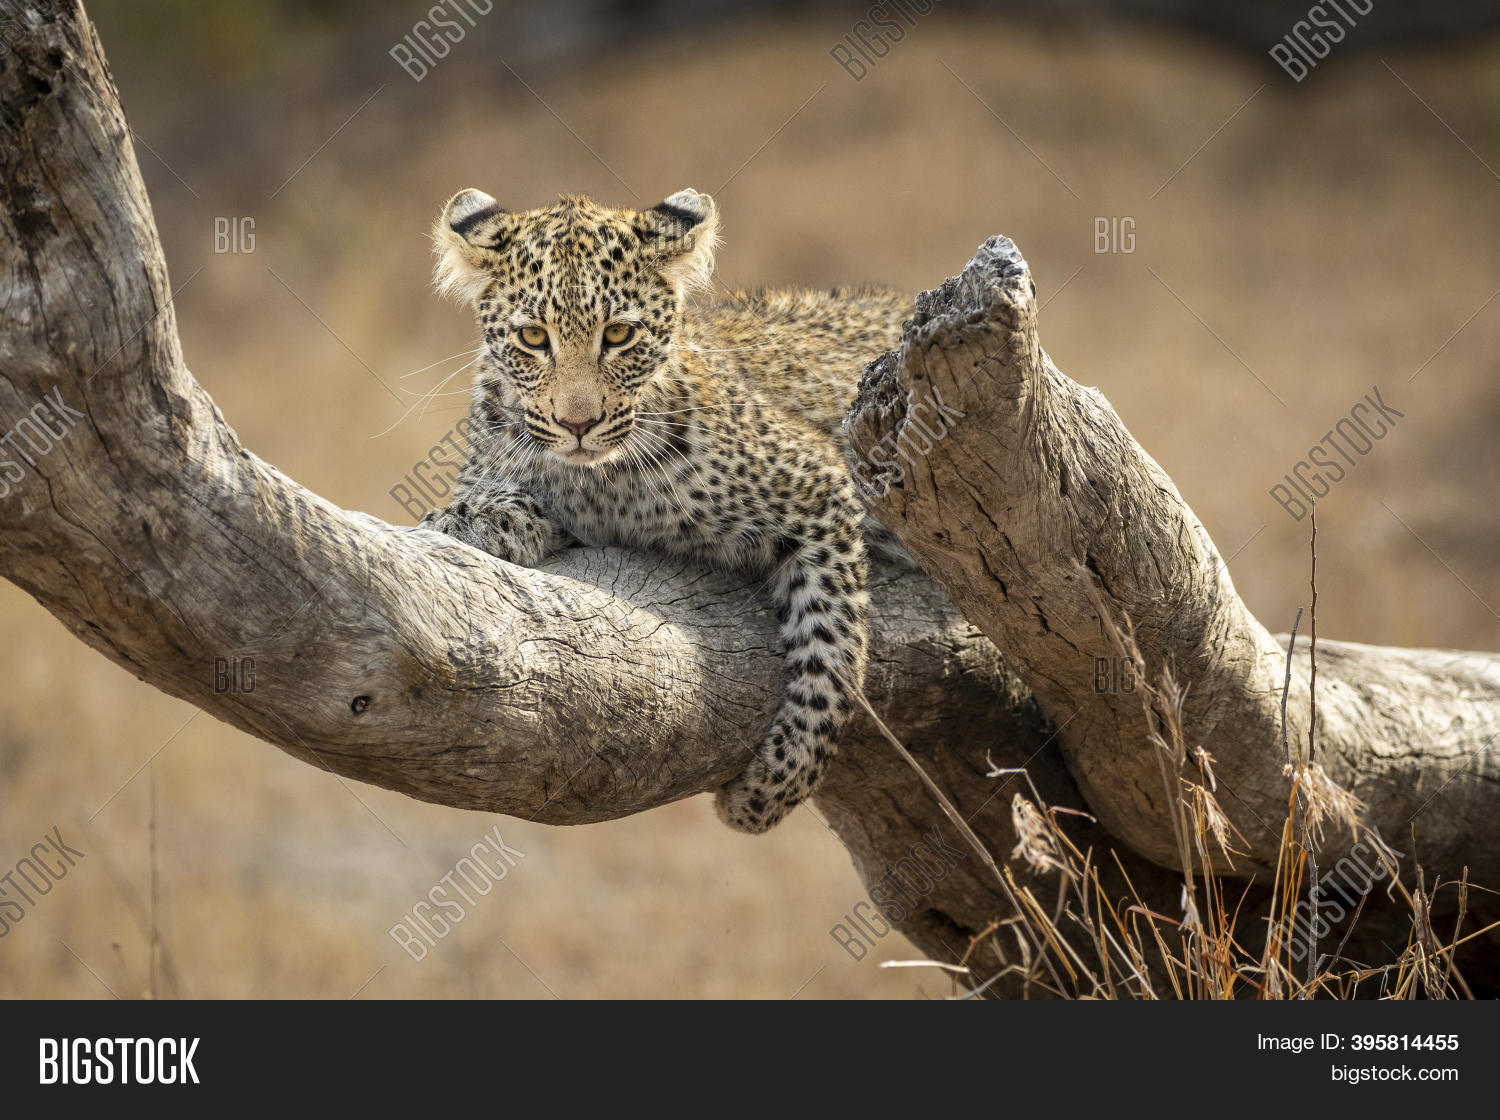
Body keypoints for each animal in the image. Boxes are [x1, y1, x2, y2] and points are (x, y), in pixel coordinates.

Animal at [420, 186, 910, 833]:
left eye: (618, 336)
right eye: (533, 339)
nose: (579, 423)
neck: (604, 487)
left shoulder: (821, 487)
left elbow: (833, 655)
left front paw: (766, 793)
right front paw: (469, 518)